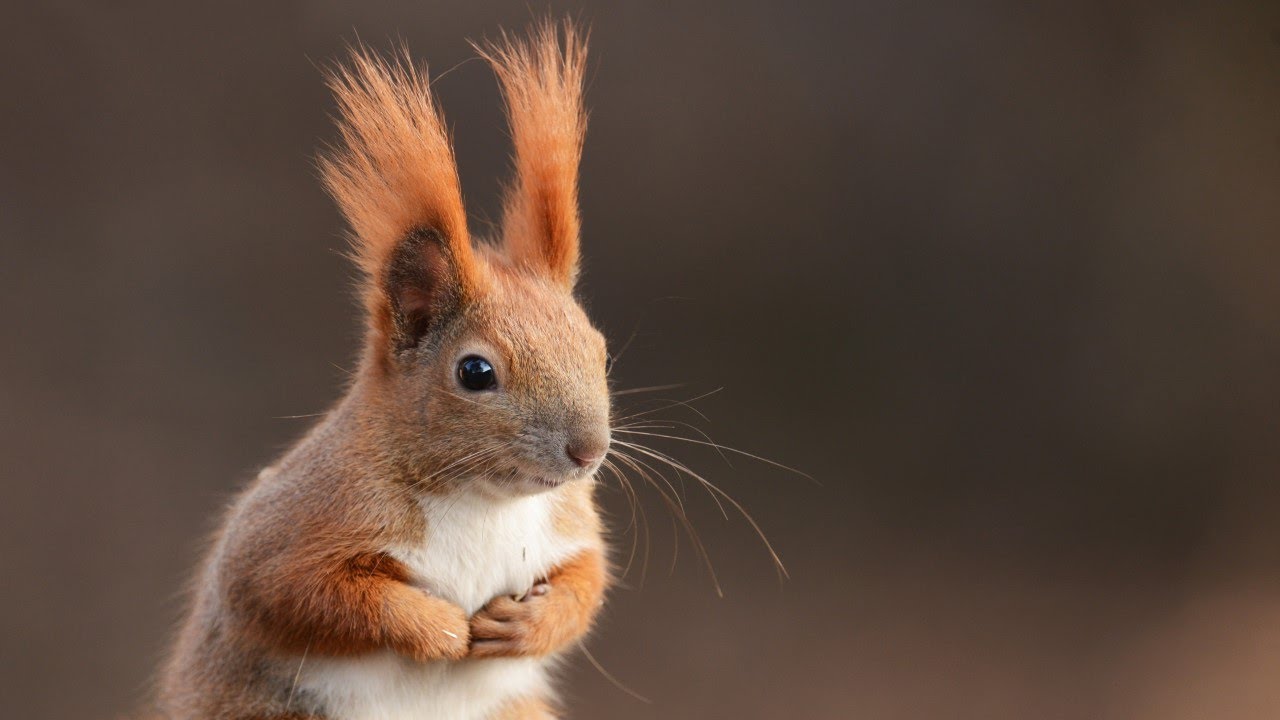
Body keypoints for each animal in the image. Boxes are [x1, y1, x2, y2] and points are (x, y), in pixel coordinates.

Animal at [157, 22, 612, 720]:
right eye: (475, 371)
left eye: (600, 349)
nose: (589, 452)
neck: (481, 502)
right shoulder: (297, 526)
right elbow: (301, 592)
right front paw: (438, 628)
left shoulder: (568, 526)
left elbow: (587, 583)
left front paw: (528, 625)